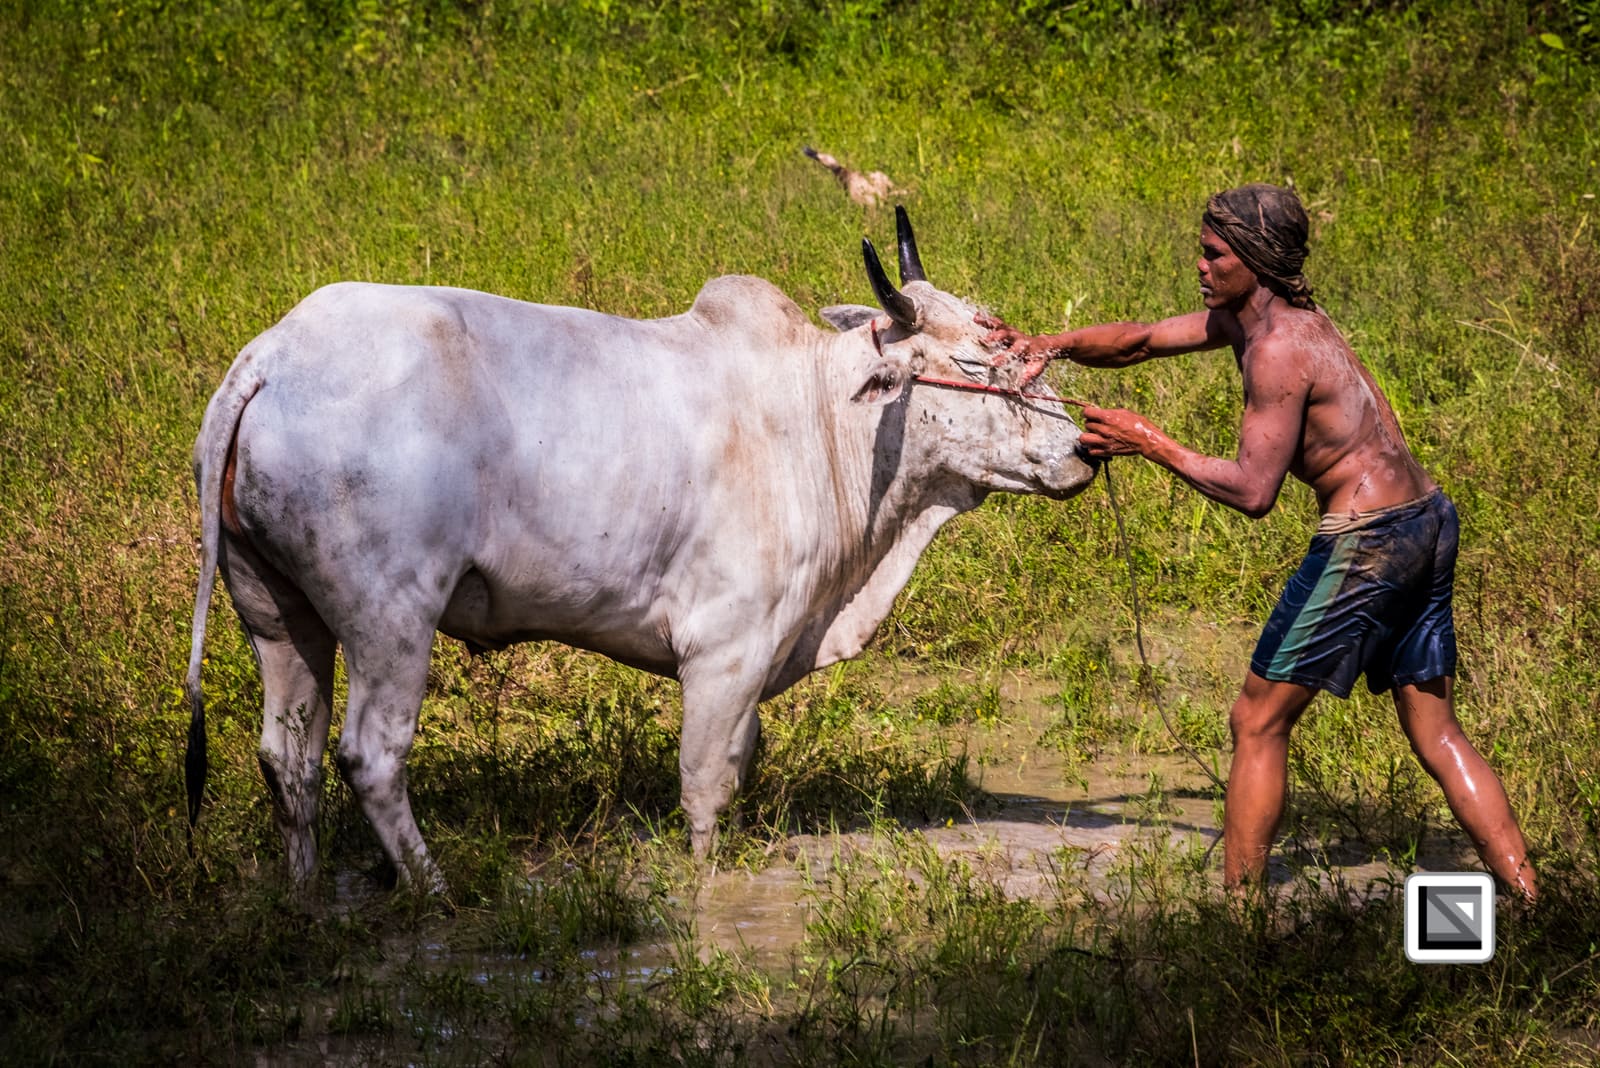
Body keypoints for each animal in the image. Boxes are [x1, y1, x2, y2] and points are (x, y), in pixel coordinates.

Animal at [184, 208, 1097, 890]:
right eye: (975, 361)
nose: (1086, 450)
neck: (823, 421)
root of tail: (272, 356)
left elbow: (738, 764)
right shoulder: (724, 649)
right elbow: (704, 785)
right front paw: (711, 886)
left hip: (275, 611)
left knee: (288, 756)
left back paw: (306, 896)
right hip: (390, 618)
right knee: (370, 757)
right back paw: (434, 889)